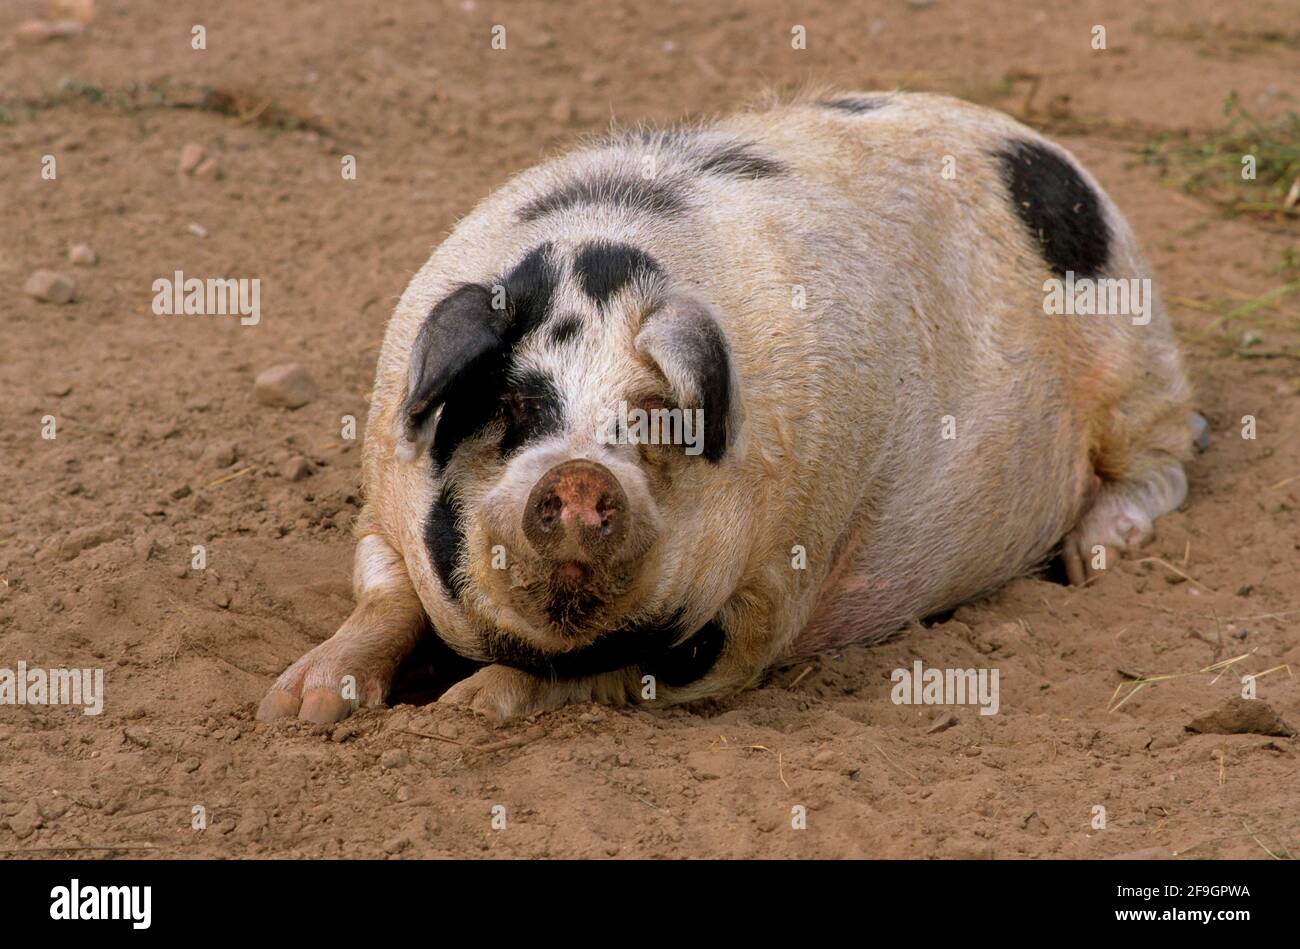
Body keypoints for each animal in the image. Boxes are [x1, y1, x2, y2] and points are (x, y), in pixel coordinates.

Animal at [258, 90, 1193, 724]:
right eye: (514, 409)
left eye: (654, 419)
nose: (578, 475)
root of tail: (1040, 143)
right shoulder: (380, 500)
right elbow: (384, 598)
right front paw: (297, 705)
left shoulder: (764, 600)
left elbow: (601, 677)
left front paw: (471, 706)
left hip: (1137, 363)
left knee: (1166, 463)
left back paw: (1092, 558)